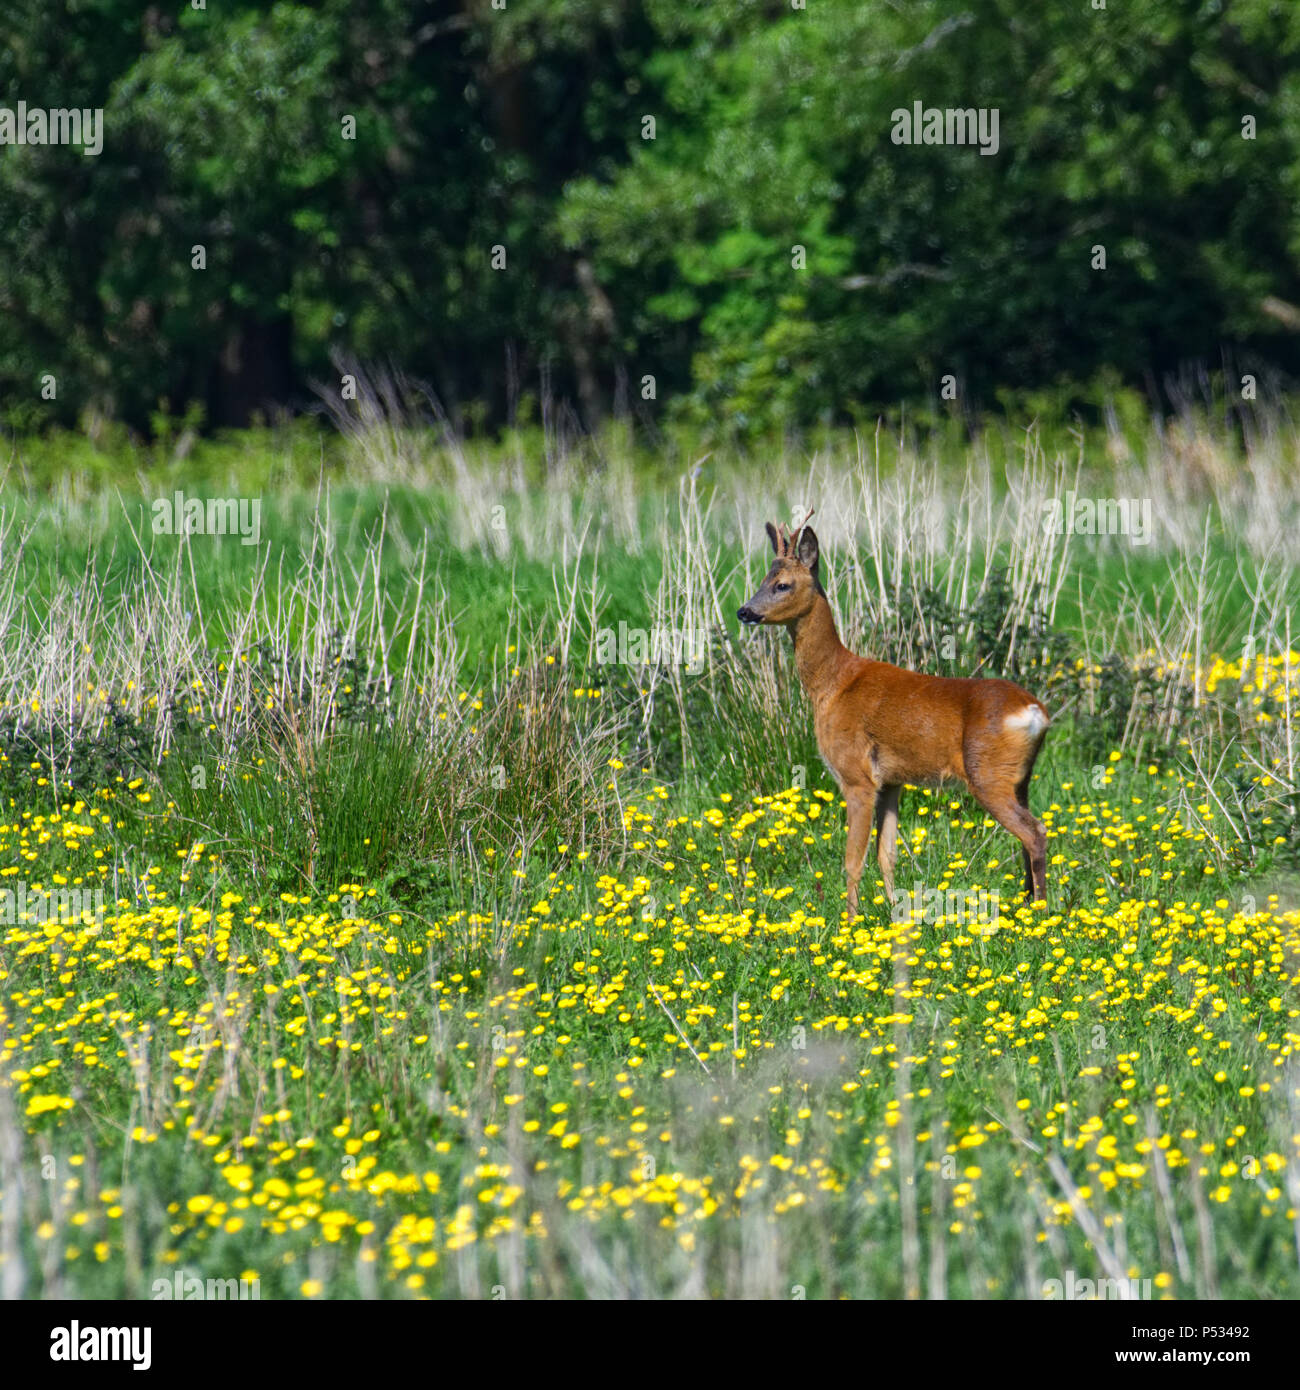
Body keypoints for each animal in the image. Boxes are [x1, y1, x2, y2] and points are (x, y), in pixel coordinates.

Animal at [737, 513, 1050, 922]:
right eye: (763, 580)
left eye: (782, 584)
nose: (744, 611)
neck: (832, 683)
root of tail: (1035, 711)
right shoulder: (891, 782)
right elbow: (887, 854)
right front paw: (894, 913)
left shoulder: (856, 776)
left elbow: (852, 860)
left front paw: (849, 924)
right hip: (1020, 779)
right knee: (1028, 834)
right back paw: (1027, 906)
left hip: (988, 774)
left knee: (1035, 833)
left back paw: (1042, 913)